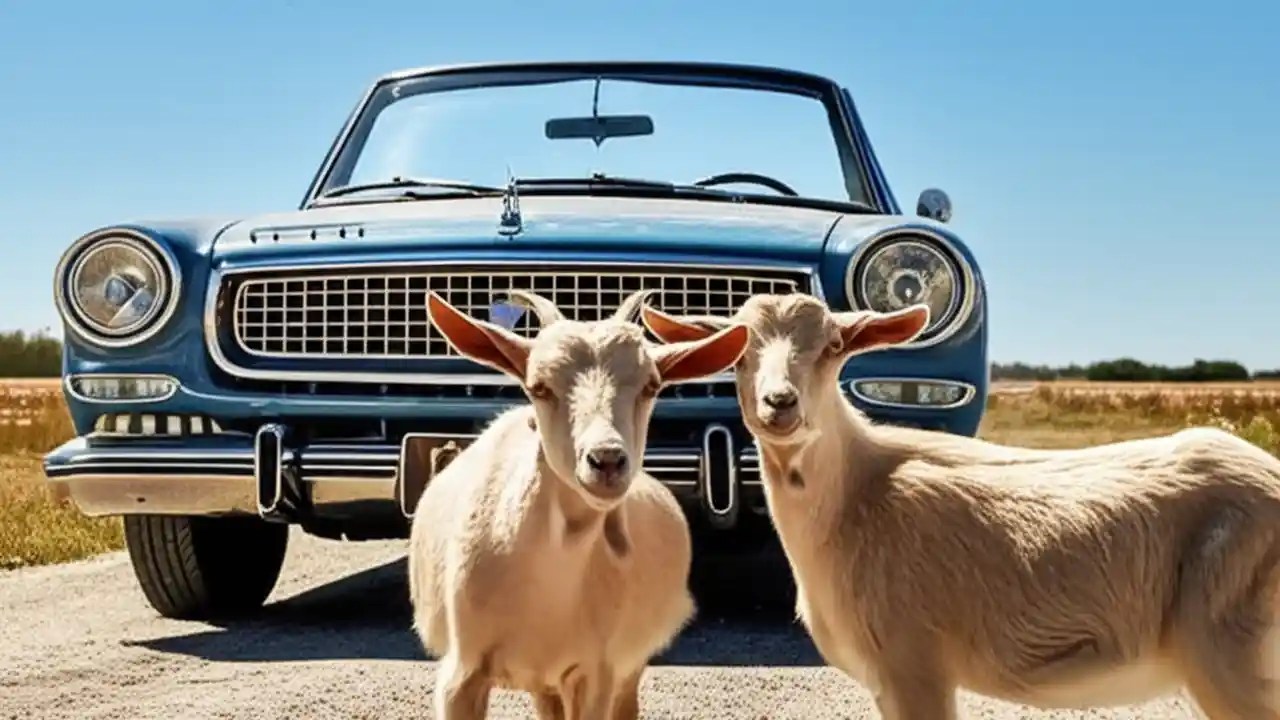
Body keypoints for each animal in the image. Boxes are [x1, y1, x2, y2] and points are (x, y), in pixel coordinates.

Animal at [408, 289, 750, 720]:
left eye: (651, 386)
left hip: (624, 667)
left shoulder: (596, 671)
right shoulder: (462, 672)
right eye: (539, 386)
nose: (607, 459)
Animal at [641, 293, 1280, 720]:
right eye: (739, 354)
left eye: (832, 347)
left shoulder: (914, 661)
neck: (855, 496)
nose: (781, 403)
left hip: (1229, 648)